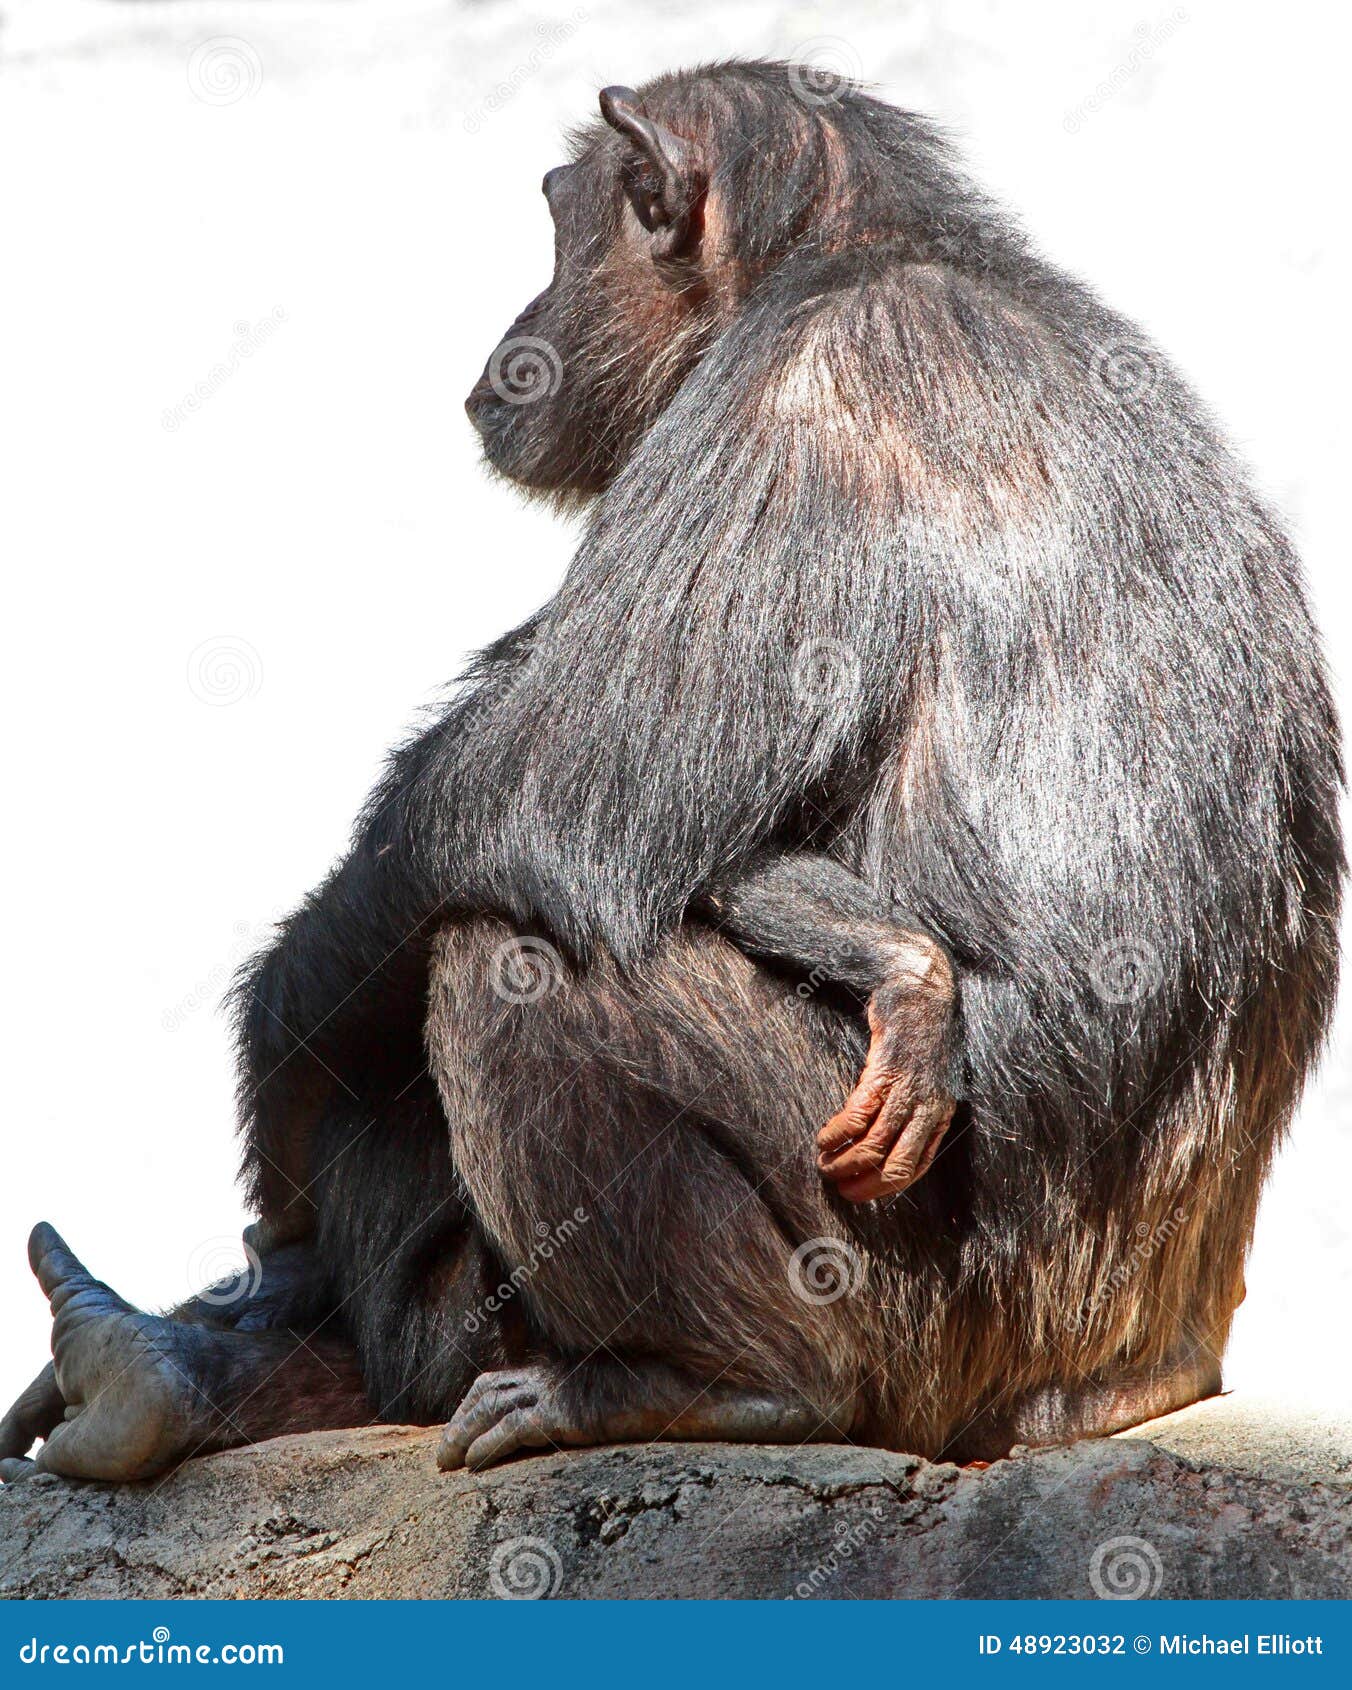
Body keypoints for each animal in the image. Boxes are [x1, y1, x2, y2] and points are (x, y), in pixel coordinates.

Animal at [0, 60, 1340, 1484]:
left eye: (552, 224)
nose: (514, 326)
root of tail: (1124, 1383)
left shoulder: (790, 401)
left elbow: (549, 801)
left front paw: (281, 1101)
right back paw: (156, 1373)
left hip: (914, 1294)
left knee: (507, 959)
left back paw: (710, 1384)